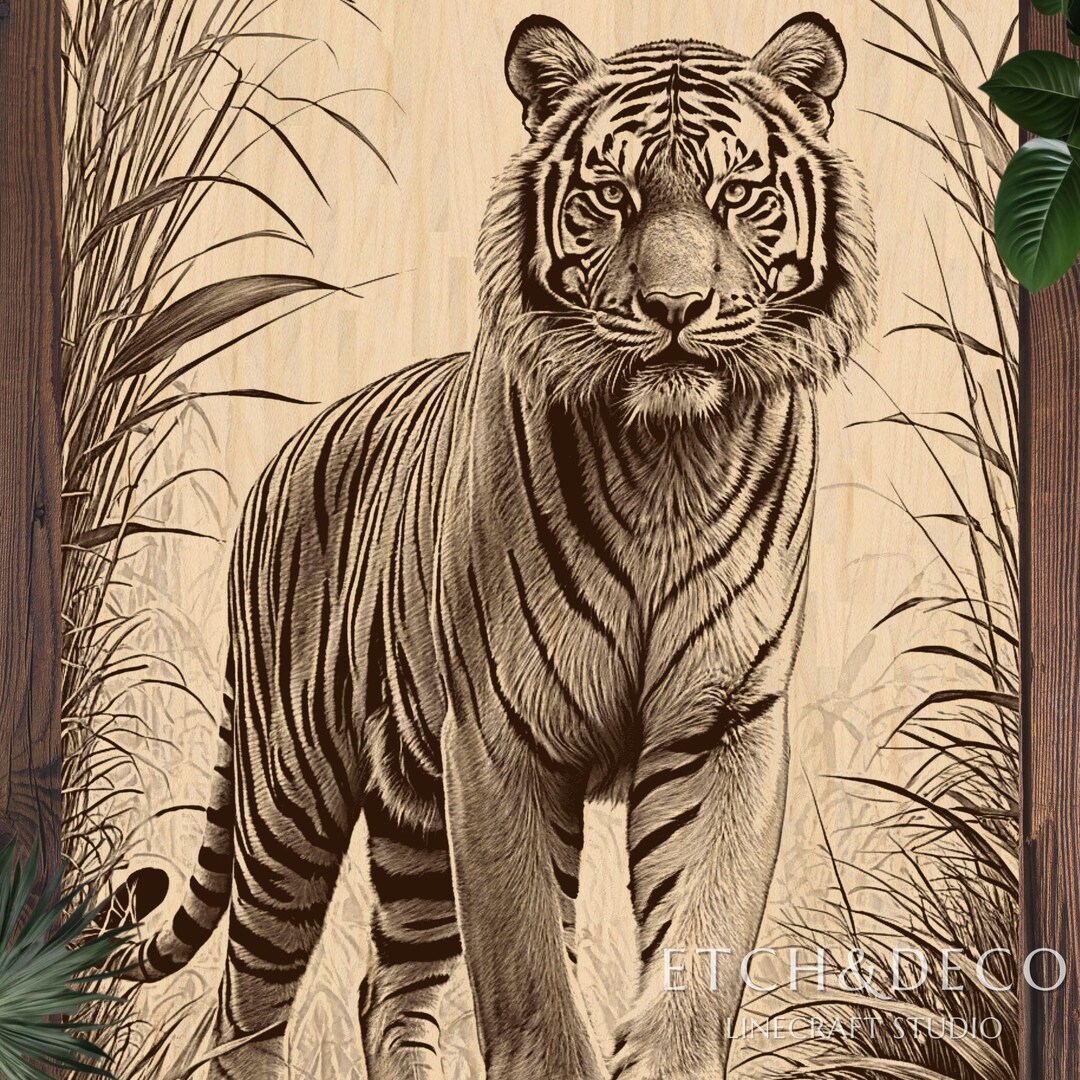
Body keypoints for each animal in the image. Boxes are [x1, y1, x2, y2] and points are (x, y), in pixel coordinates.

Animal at [118, 13, 876, 1080]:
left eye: (737, 194)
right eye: (613, 195)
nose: (676, 308)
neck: (669, 456)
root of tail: (283, 457)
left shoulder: (723, 723)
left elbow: (701, 943)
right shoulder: (500, 739)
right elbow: (529, 979)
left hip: (412, 815)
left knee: (386, 985)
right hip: (290, 800)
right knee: (245, 1010)